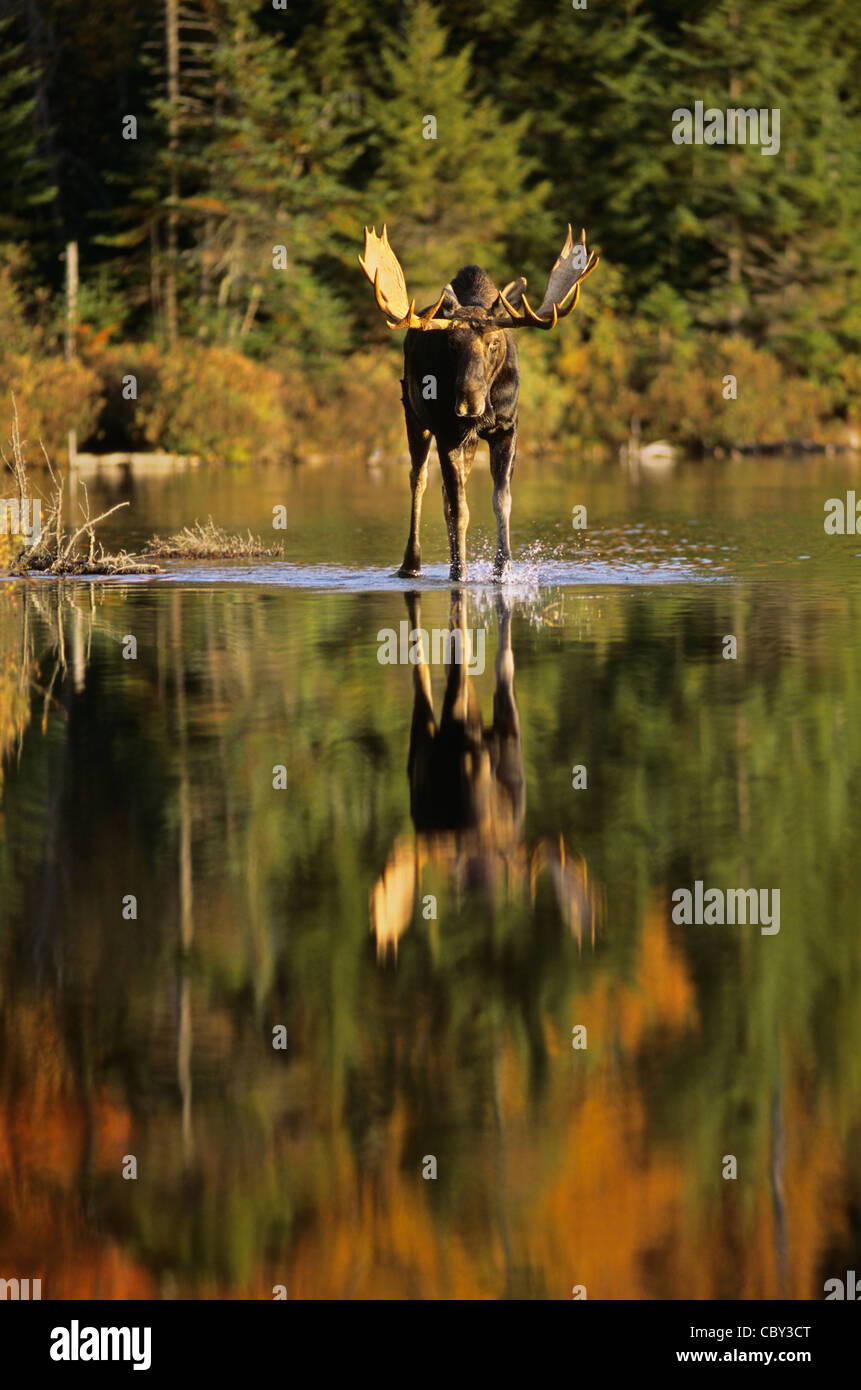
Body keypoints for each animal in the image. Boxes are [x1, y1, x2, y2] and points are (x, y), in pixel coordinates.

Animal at [358, 225, 599, 582]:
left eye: (494, 343)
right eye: (452, 343)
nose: (469, 402)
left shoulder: (507, 429)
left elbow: (501, 500)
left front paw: (503, 567)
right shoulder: (446, 432)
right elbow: (460, 508)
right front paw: (459, 572)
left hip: (467, 441)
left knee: (445, 493)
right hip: (415, 418)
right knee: (420, 480)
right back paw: (411, 563)